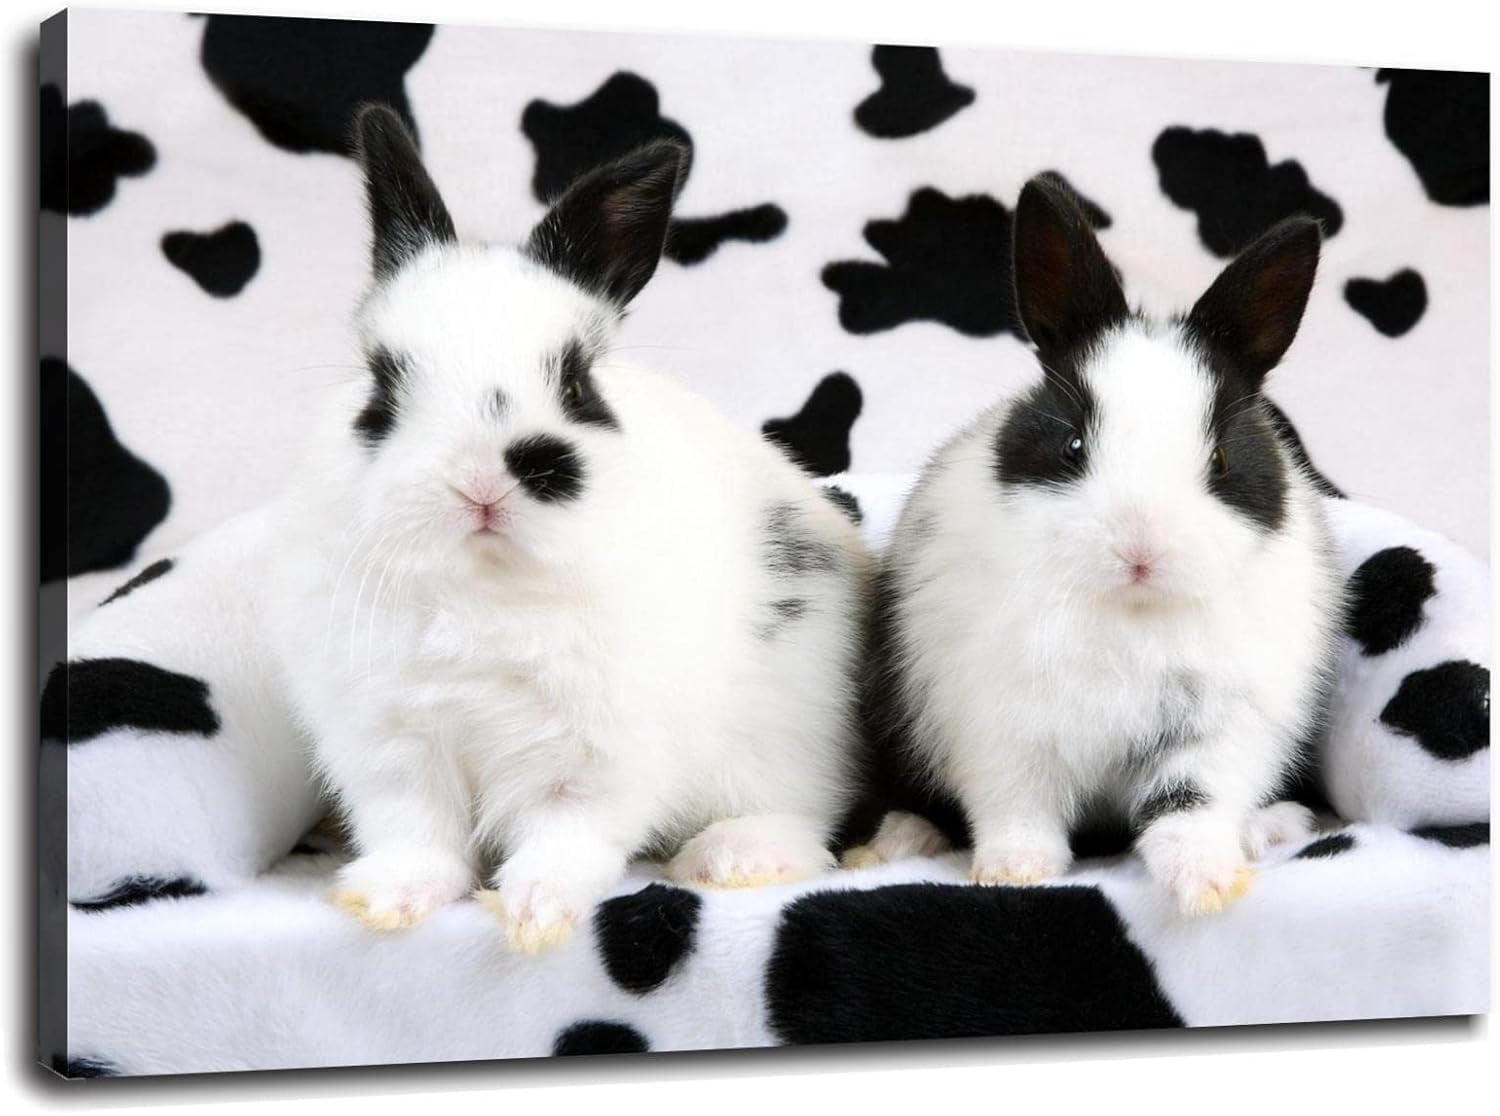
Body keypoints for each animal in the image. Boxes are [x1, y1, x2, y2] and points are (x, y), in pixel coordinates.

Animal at [264, 106, 872, 952]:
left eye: (579, 384)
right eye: (382, 388)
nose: (484, 479)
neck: (484, 589)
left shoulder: (591, 756)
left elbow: (566, 832)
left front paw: (535, 913)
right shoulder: (394, 747)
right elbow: (416, 831)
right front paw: (388, 901)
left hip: (785, 736)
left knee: (807, 820)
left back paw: (732, 858)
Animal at [844, 173, 1345, 916]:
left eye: (1221, 459)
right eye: (1072, 445)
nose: (1140, 548)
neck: (1128, 611)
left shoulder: (1218, 729)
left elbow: (1191, 806)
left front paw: (1209, 885)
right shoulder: (1001, 728)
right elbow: (1018, 808)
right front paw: (1012, 872)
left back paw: (1271, 827)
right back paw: (904, 838)